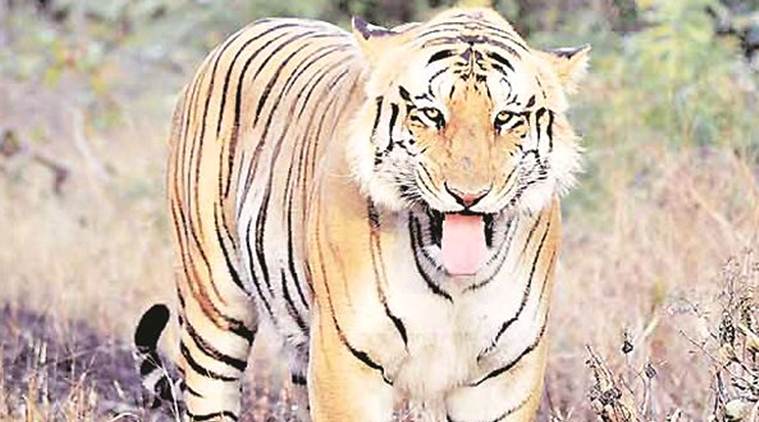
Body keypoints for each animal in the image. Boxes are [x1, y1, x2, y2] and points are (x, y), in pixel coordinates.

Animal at [134, 6, 589, 422]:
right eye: (431, 114)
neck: (452, 281)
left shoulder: (505, 374)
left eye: (505, 118)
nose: (468, 195)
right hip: (212, 308)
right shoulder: (346, 362)